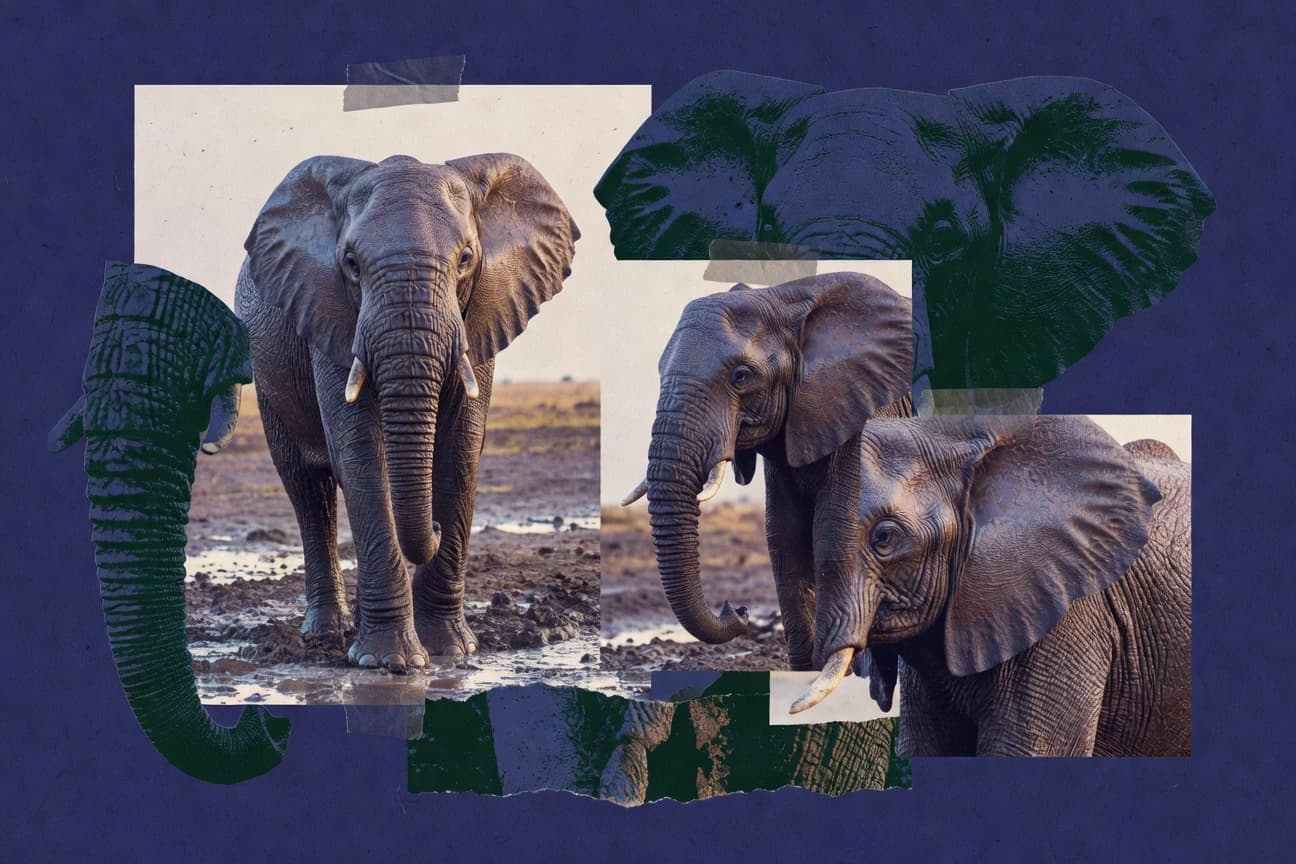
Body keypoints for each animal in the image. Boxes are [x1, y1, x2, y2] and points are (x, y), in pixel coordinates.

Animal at [236, 153, 579, 671]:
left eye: (466, 259)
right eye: (351, 264)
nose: (433, 527)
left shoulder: (479, 317)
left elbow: (461, 451)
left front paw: (449, 651)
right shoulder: (331, 316)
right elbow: (361, 453)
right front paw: (388, 663)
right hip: (265, 374)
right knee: (308, 488)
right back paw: (327, 634)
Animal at [618, 271, 913, 669]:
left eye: (741, 377)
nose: (738, 610)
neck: (784, 299)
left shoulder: (867, 413)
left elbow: (835, 532)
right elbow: (784, 539)